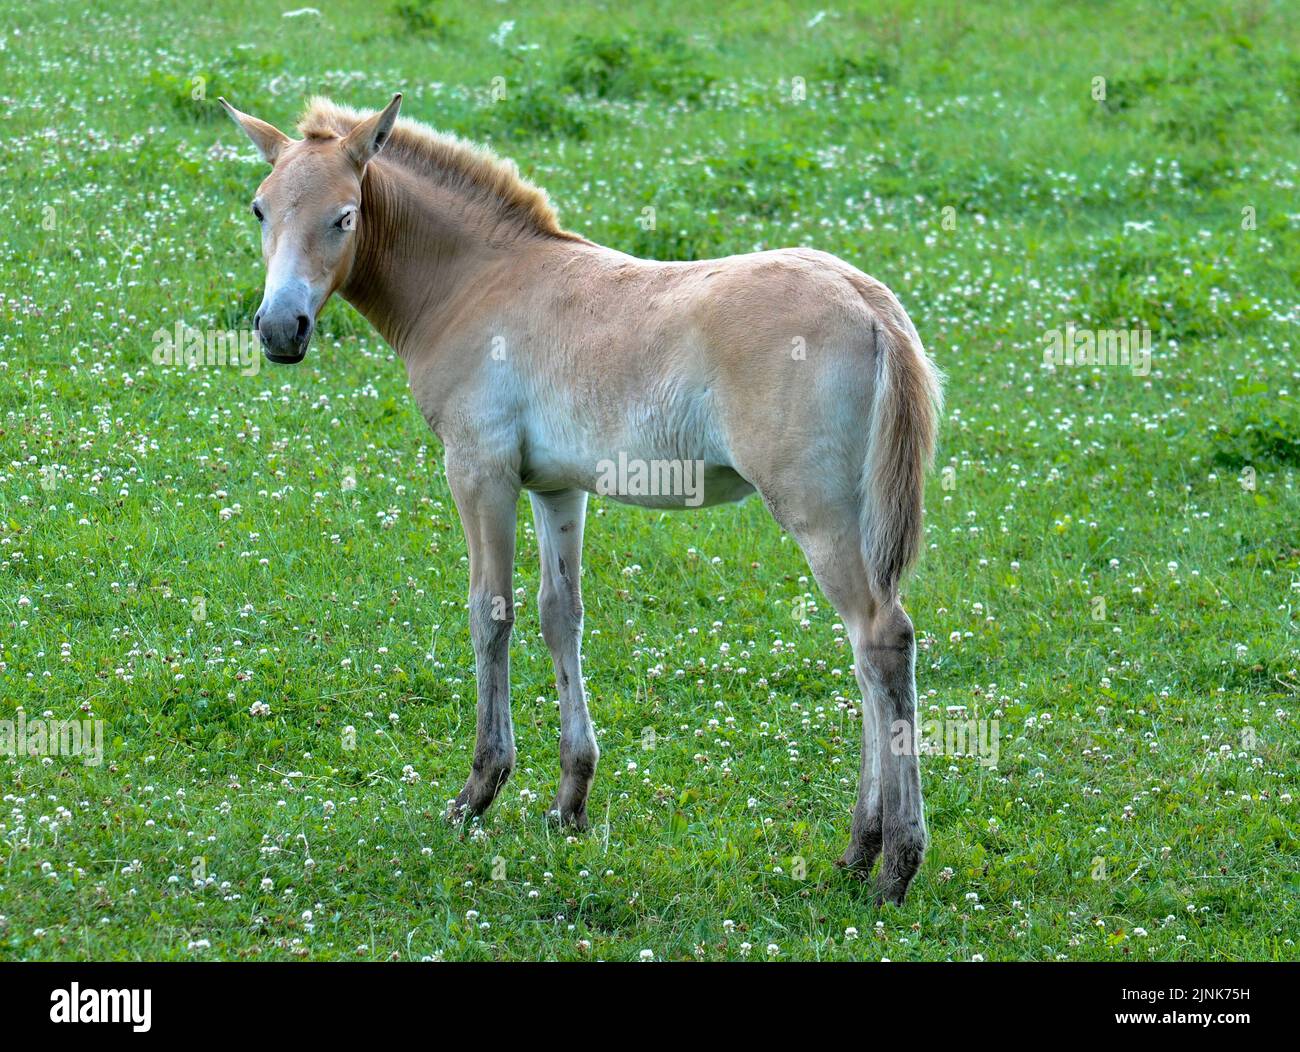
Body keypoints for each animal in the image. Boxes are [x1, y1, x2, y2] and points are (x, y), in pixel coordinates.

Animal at [219, 93, 942, 904]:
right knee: (865, 656)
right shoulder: (555, 486)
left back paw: (894, 864)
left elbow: (490, 614)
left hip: (816, 512)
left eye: (344, 216)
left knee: (881, 641)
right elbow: (558, 615)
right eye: (259, 208)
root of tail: (873, 307)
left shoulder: (479, 470)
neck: (473, 283)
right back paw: (859, 849)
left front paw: (478, 791)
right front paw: (570, 800)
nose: (280, 329)